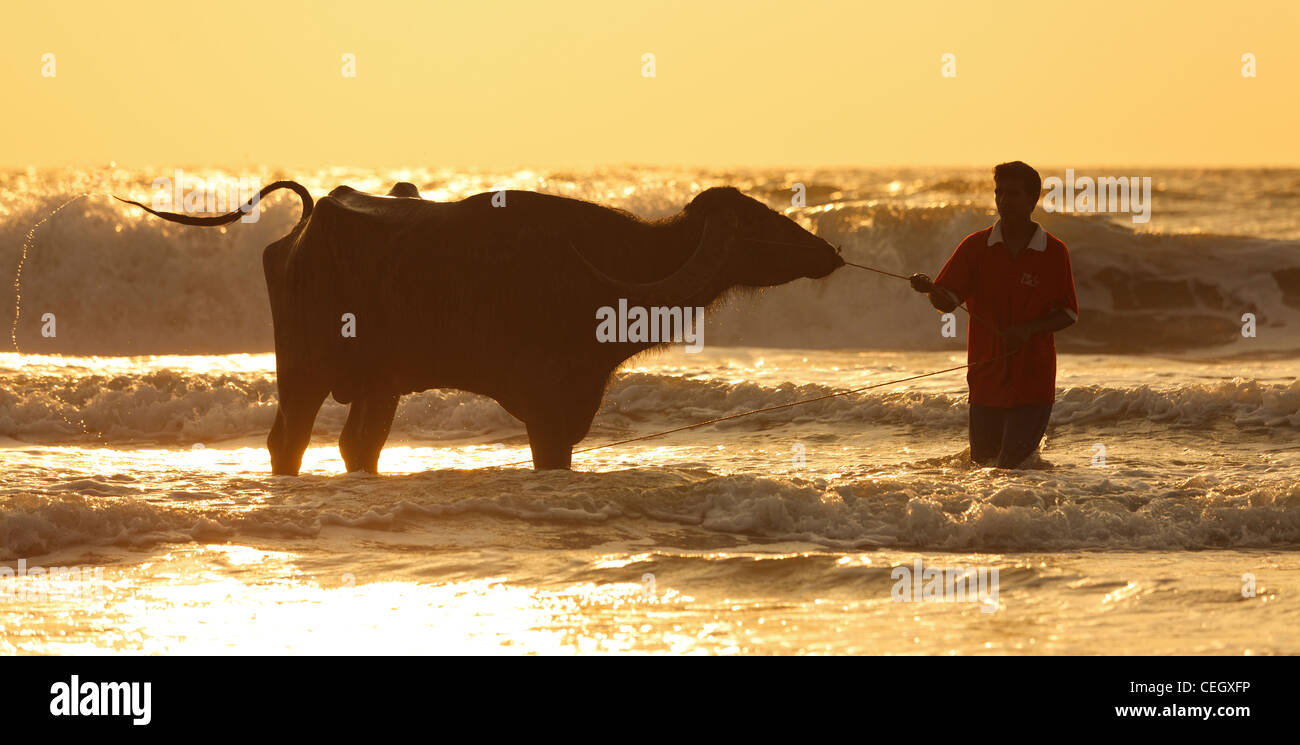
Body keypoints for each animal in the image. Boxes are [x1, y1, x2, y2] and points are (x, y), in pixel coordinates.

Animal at [119, 180, 843, 473]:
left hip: (381, 386)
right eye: (755, 221)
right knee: (288, 442)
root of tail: (305, 224)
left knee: (359, 446)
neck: (605, 272)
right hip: (303, 373)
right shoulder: (549, 414)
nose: (828, 250)